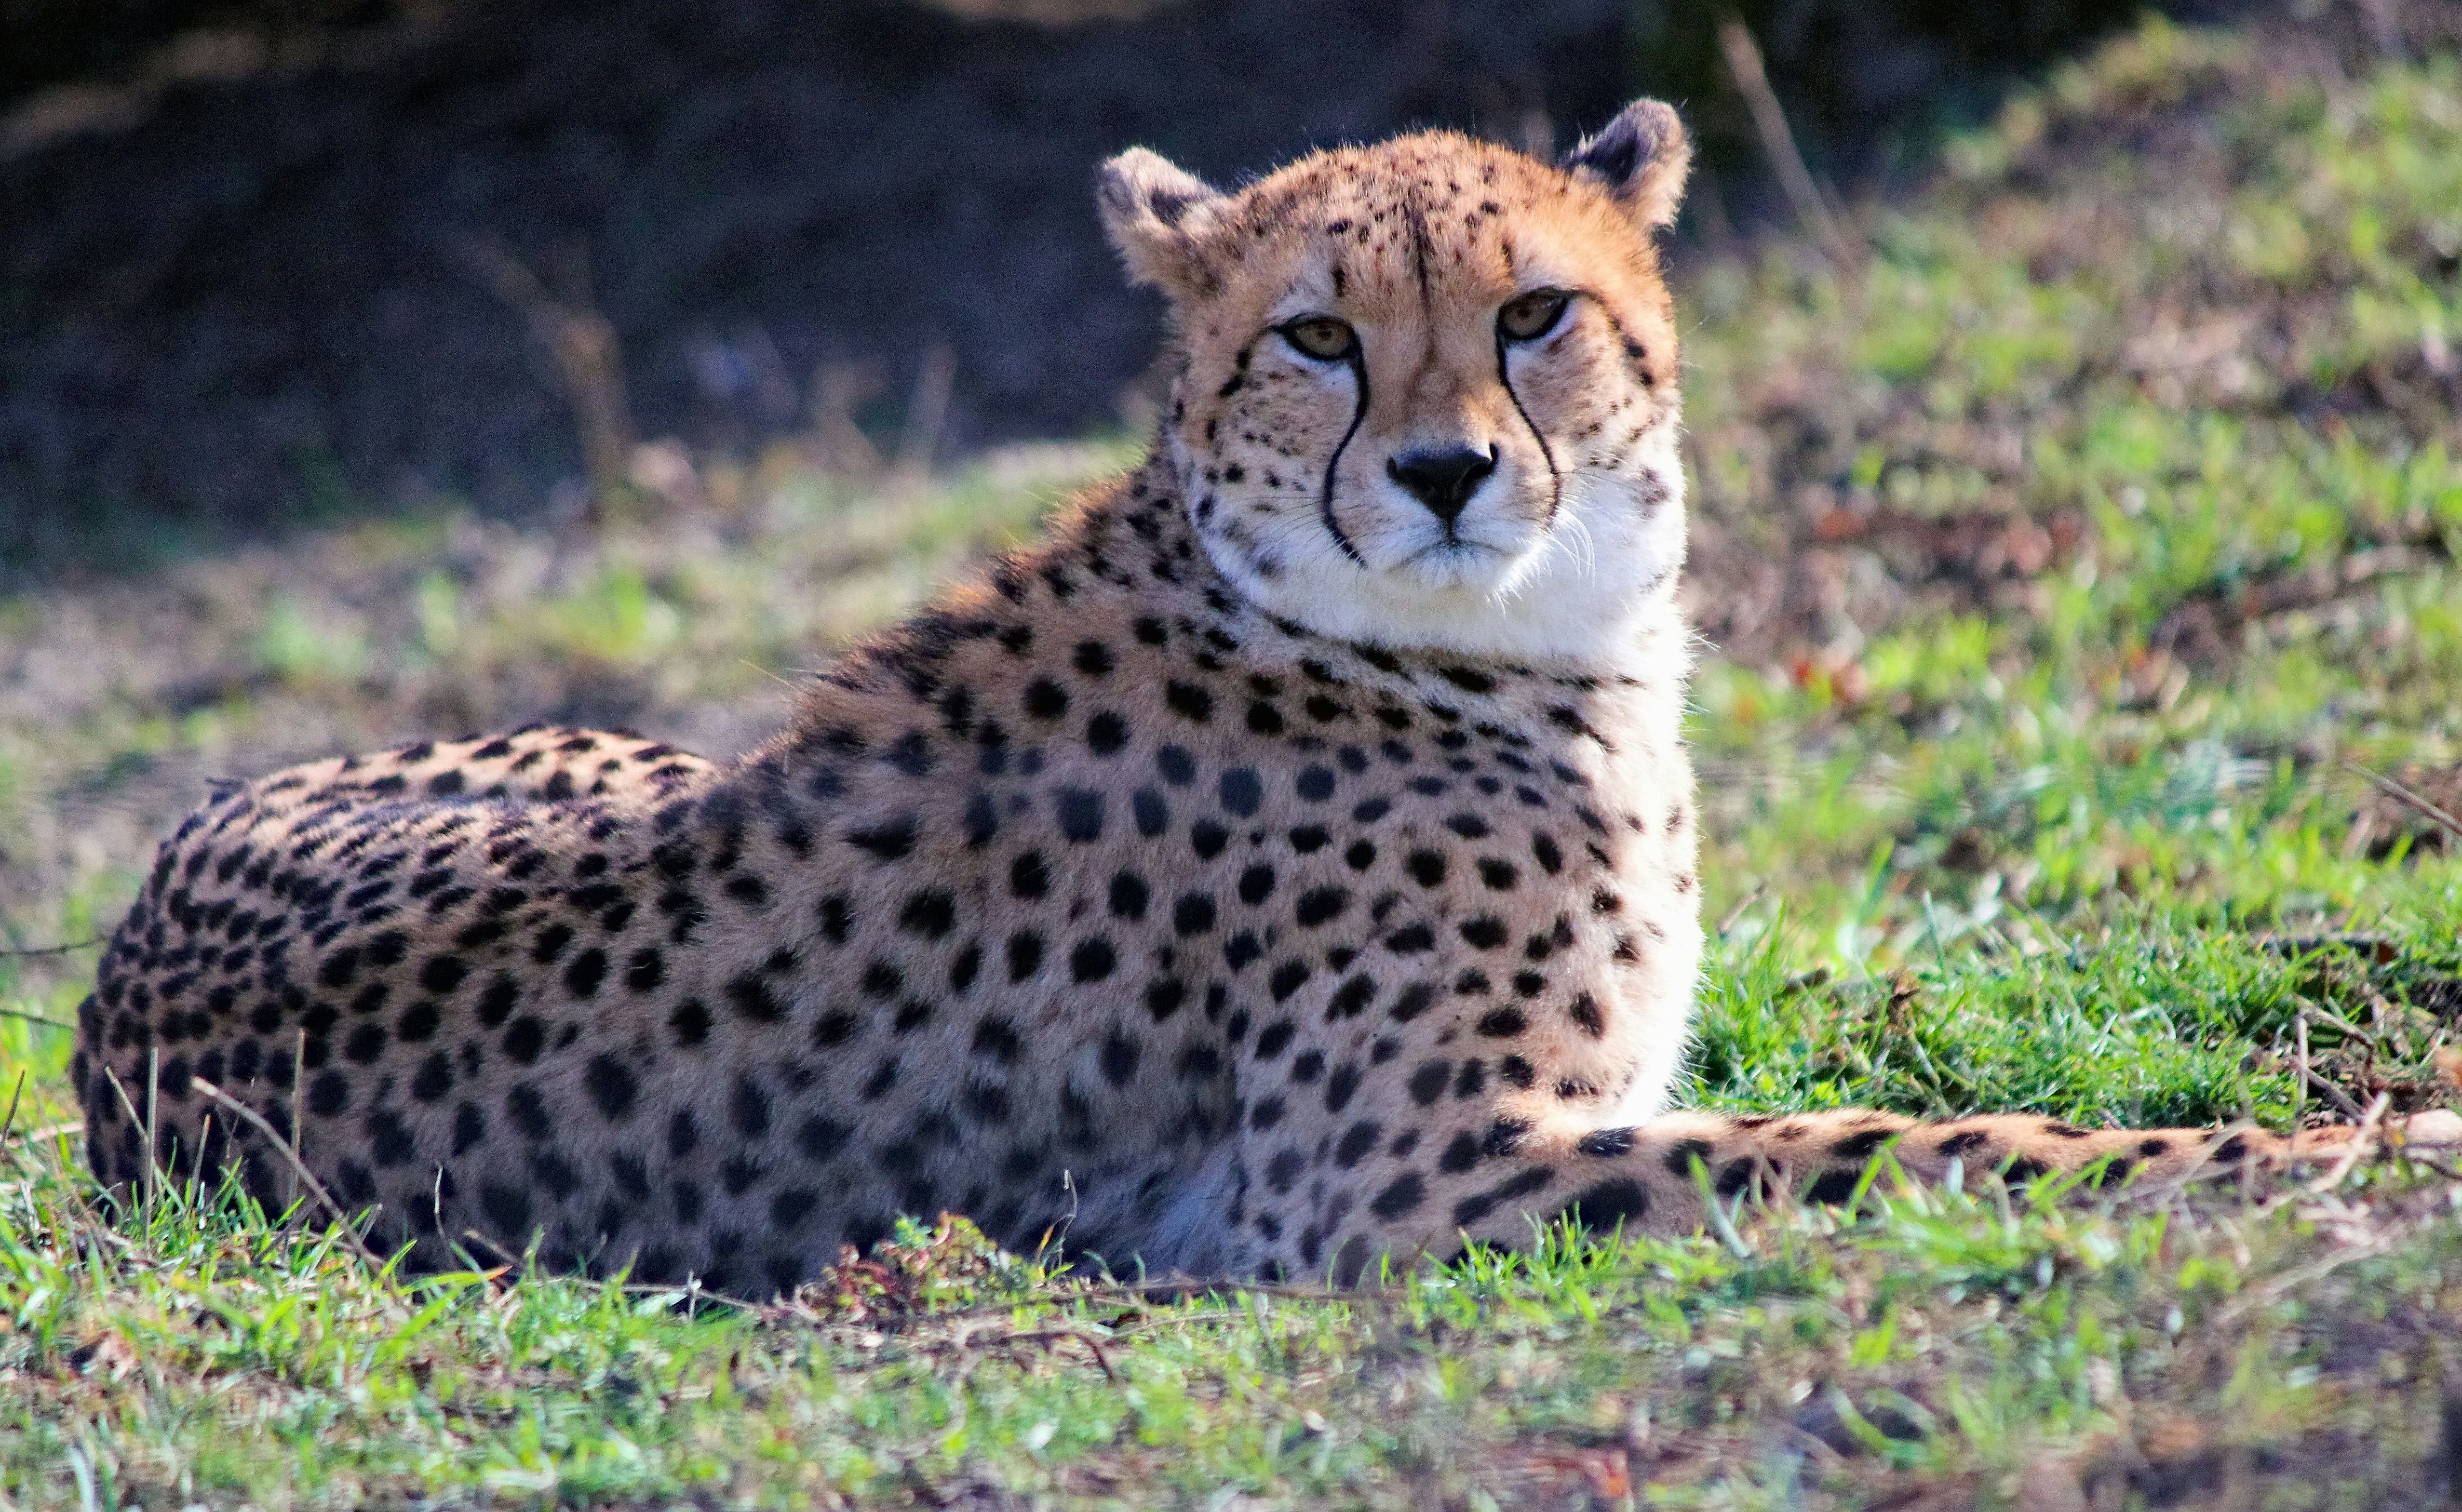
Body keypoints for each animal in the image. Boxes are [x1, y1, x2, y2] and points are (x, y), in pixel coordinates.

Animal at [73, 99, 2457, 1293]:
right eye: (1316, 336)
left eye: (1530, 315)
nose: (1442, 470)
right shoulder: (1396, 1179)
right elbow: (1936, 1149)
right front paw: (2345, 1150)